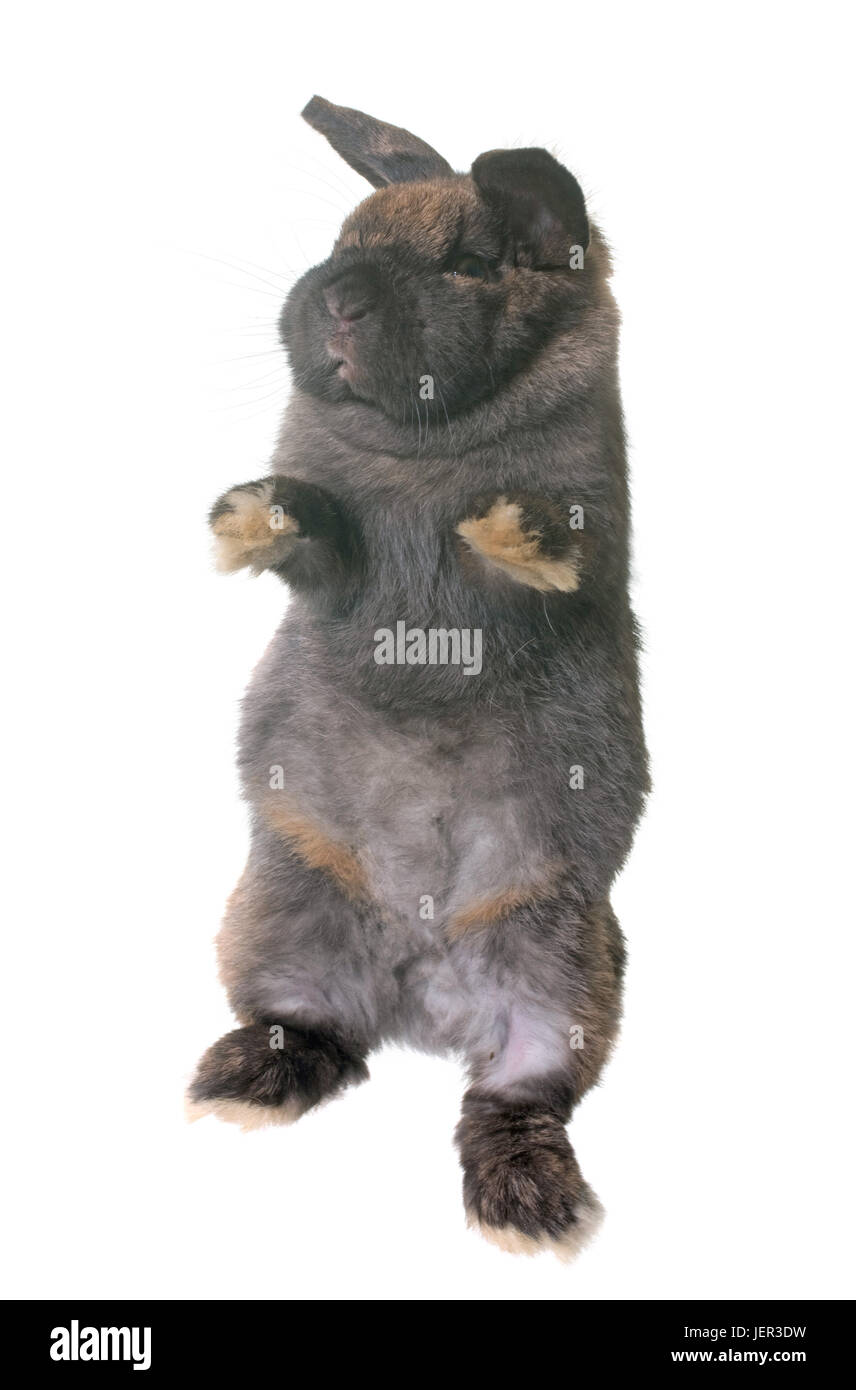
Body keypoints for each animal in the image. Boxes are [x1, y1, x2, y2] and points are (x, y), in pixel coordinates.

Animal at [188, 96, 649, 1260]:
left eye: (476, 262)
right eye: (344, 240)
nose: (337, 300)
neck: (421, 445)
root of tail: (424, 982)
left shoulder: (570, 555)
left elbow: (534, 550)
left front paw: (507, 523)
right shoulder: (337, 575)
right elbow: (319, 536)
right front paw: (248, 510)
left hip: (561, 968)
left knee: (513, 1098)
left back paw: (532, 1209)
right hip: (276, 913)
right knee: (317, 1031)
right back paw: (241, 1082)